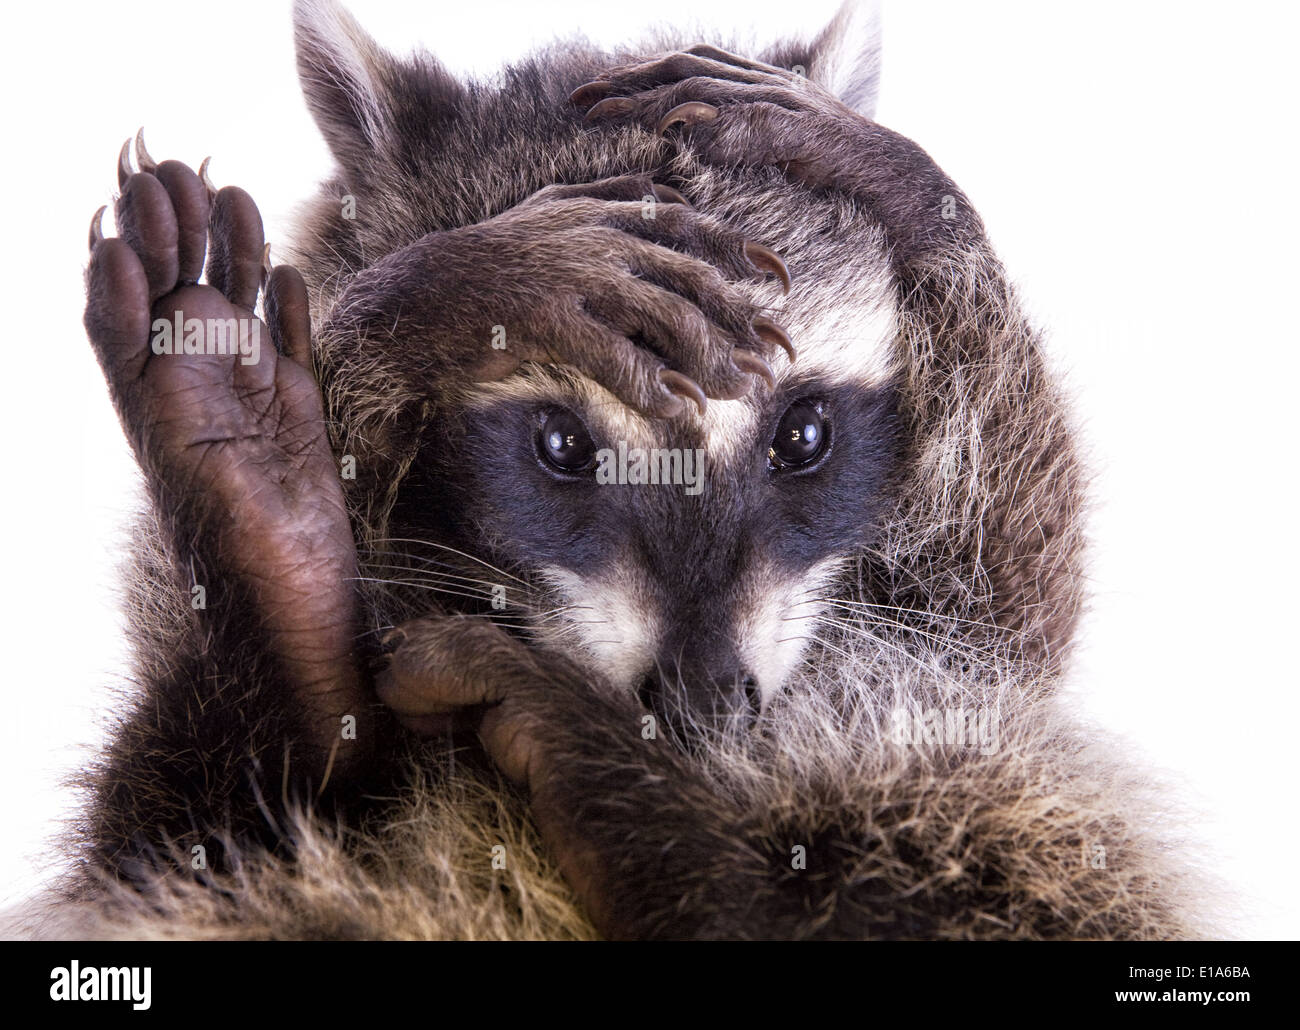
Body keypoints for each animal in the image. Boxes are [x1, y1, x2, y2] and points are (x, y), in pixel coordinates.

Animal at [28, 0, 1207, 939]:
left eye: (802, 436)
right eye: (559, 446)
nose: (700, 703)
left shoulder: (962, 651)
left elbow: (1008, 587)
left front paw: (911, 193)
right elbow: (155, 835)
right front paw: (426, 301)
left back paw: (670, 840)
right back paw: (269, 546)